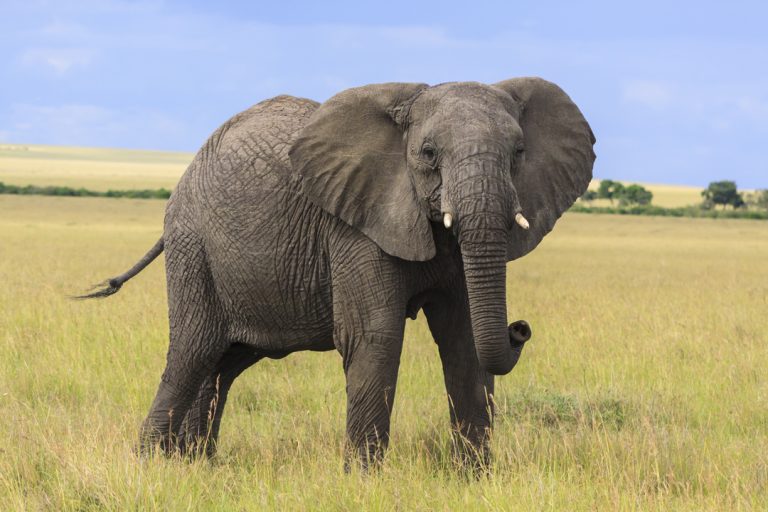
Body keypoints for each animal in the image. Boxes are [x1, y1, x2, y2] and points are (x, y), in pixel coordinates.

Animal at [80, 77, 595, 468]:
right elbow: (375, 337)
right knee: (192, 352)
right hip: (194, 247)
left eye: (519, 151)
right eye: (428, 153)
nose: (520, 328)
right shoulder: (353, 224)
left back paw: (195, 465)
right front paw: (366, 480)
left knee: (220, 365)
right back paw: (151, 465)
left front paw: (474, 479)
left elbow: (465, 341)